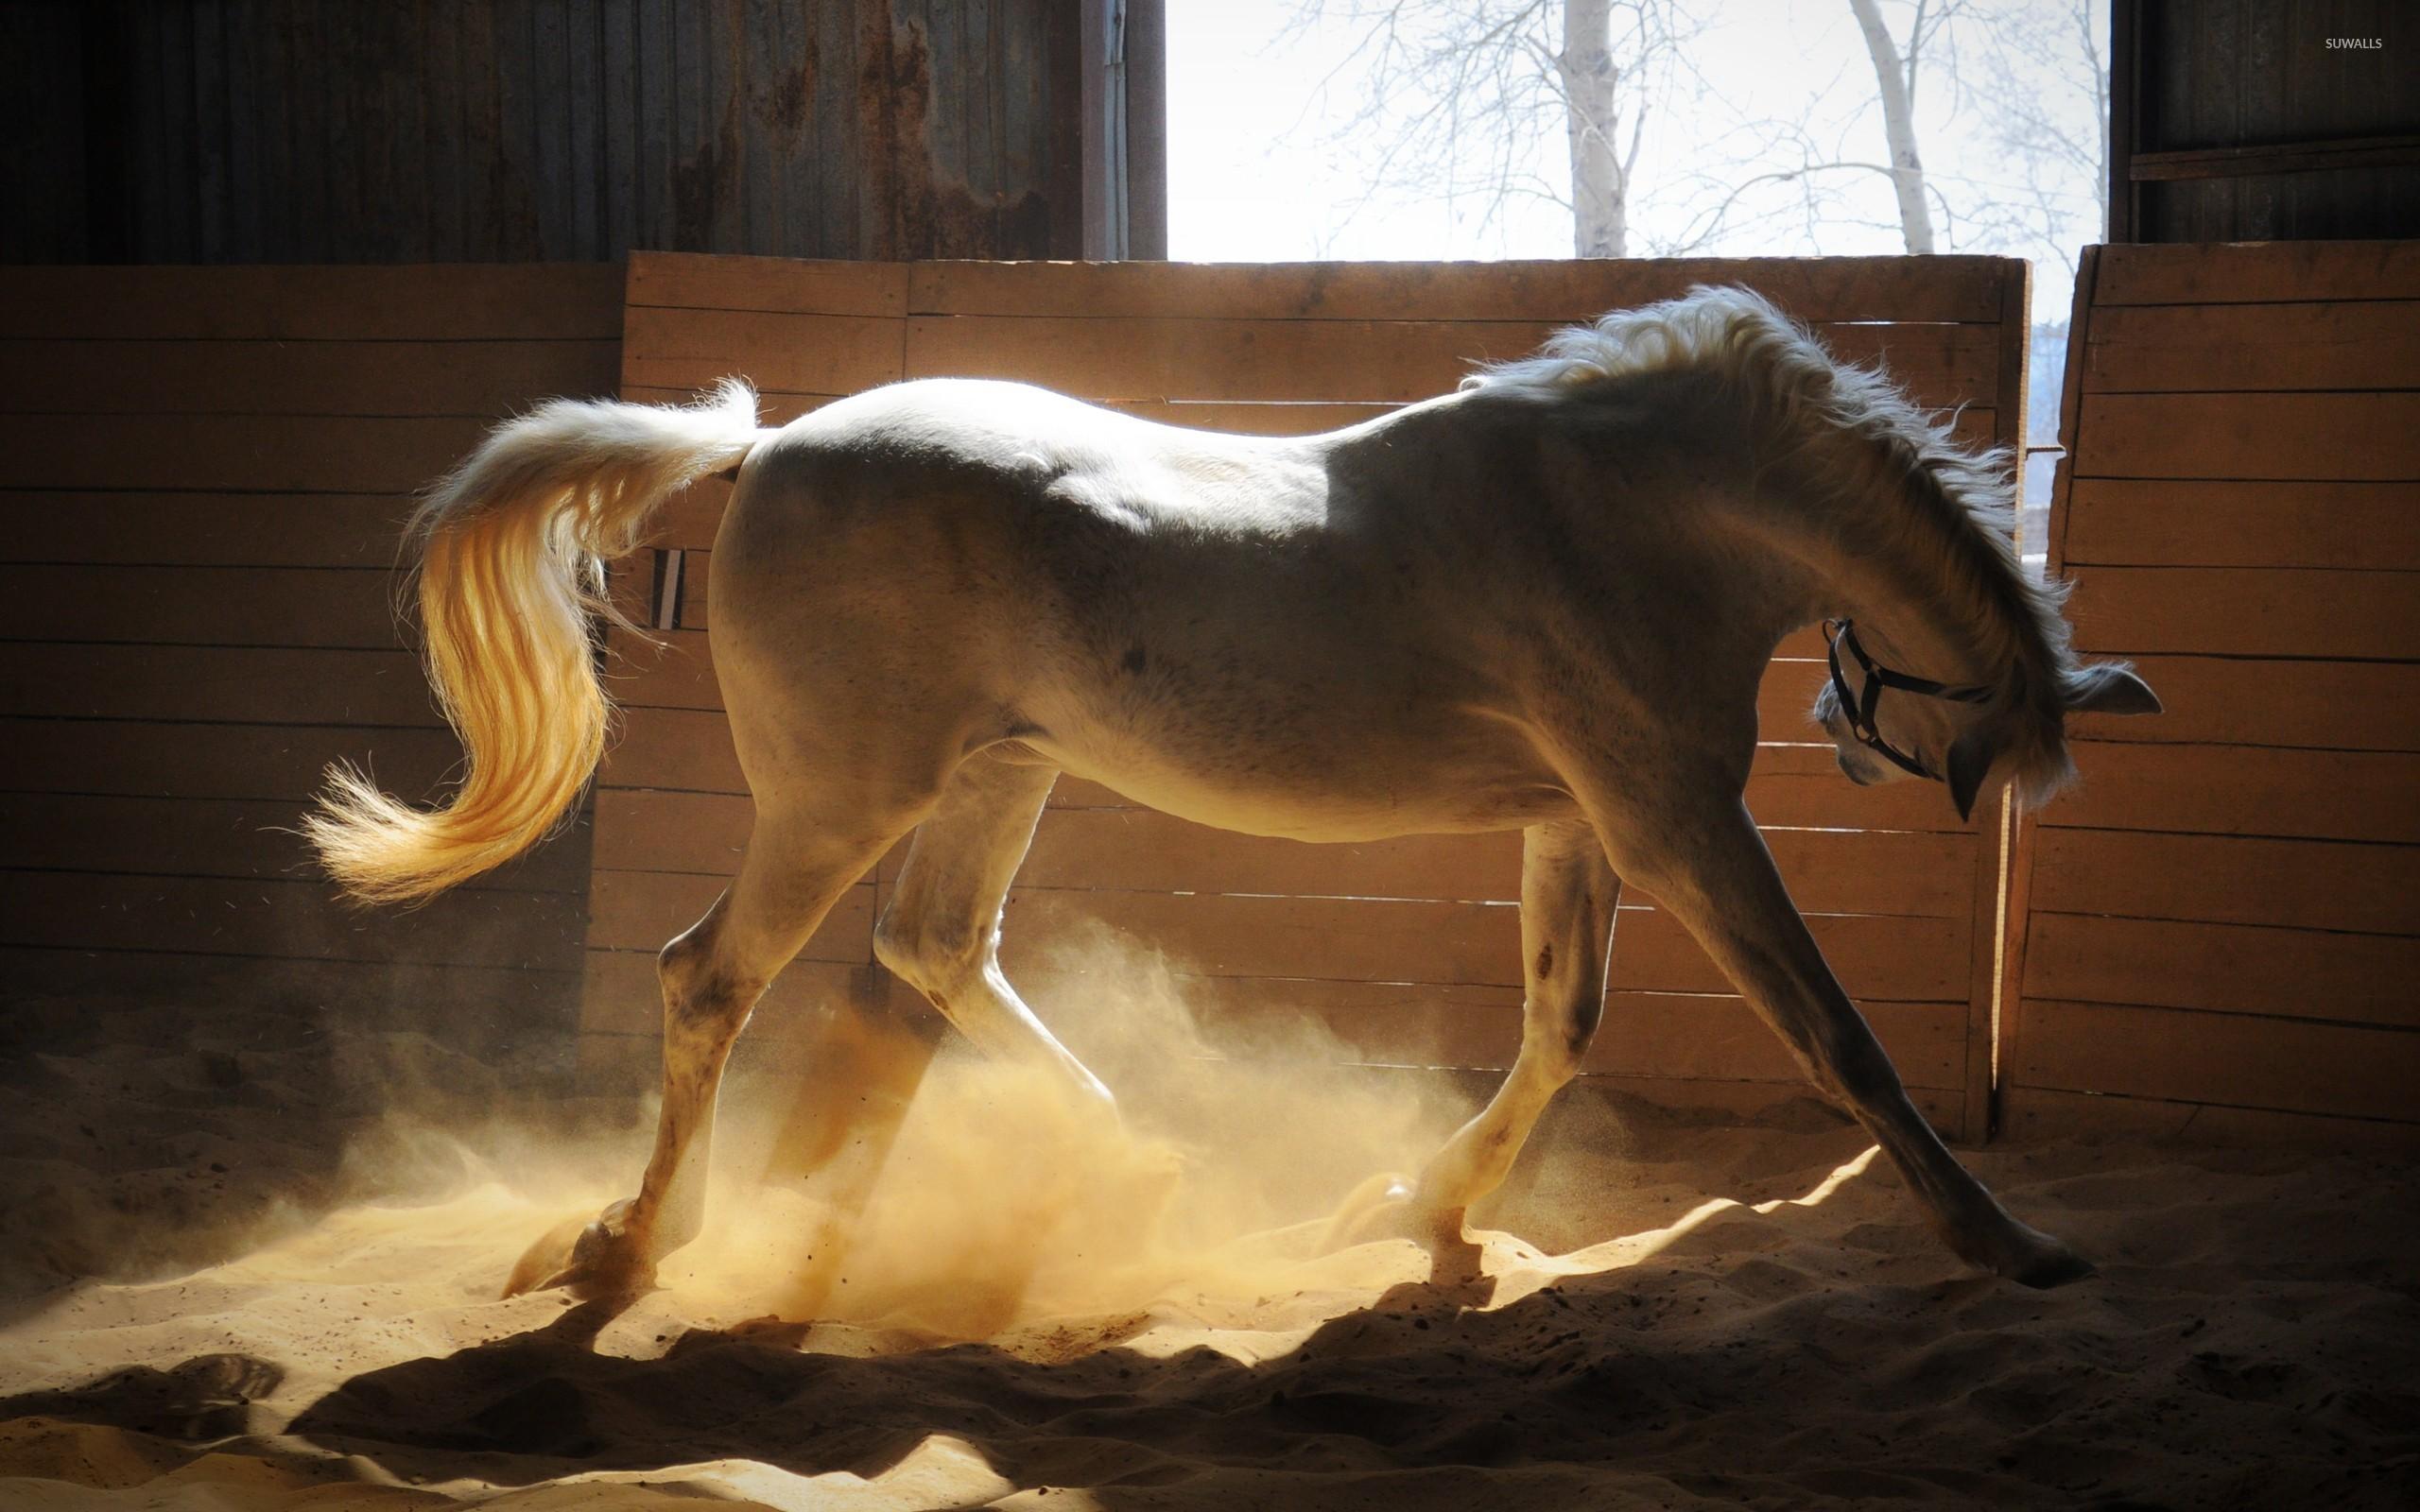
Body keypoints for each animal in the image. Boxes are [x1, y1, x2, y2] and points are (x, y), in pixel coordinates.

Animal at [308, 285, 2159, 1303]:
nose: (1866, 742)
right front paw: (2011, 1244)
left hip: (998, 778)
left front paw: (1417, 1210)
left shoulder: (1579, 827)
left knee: (934, 954)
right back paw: (632, 1246)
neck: (1627, 510)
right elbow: (1838, 1042)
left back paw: (1133, 1167)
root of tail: (764, 450)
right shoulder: (1675, 822)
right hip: (840, 799)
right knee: (714, 978)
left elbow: (1561, 1029)